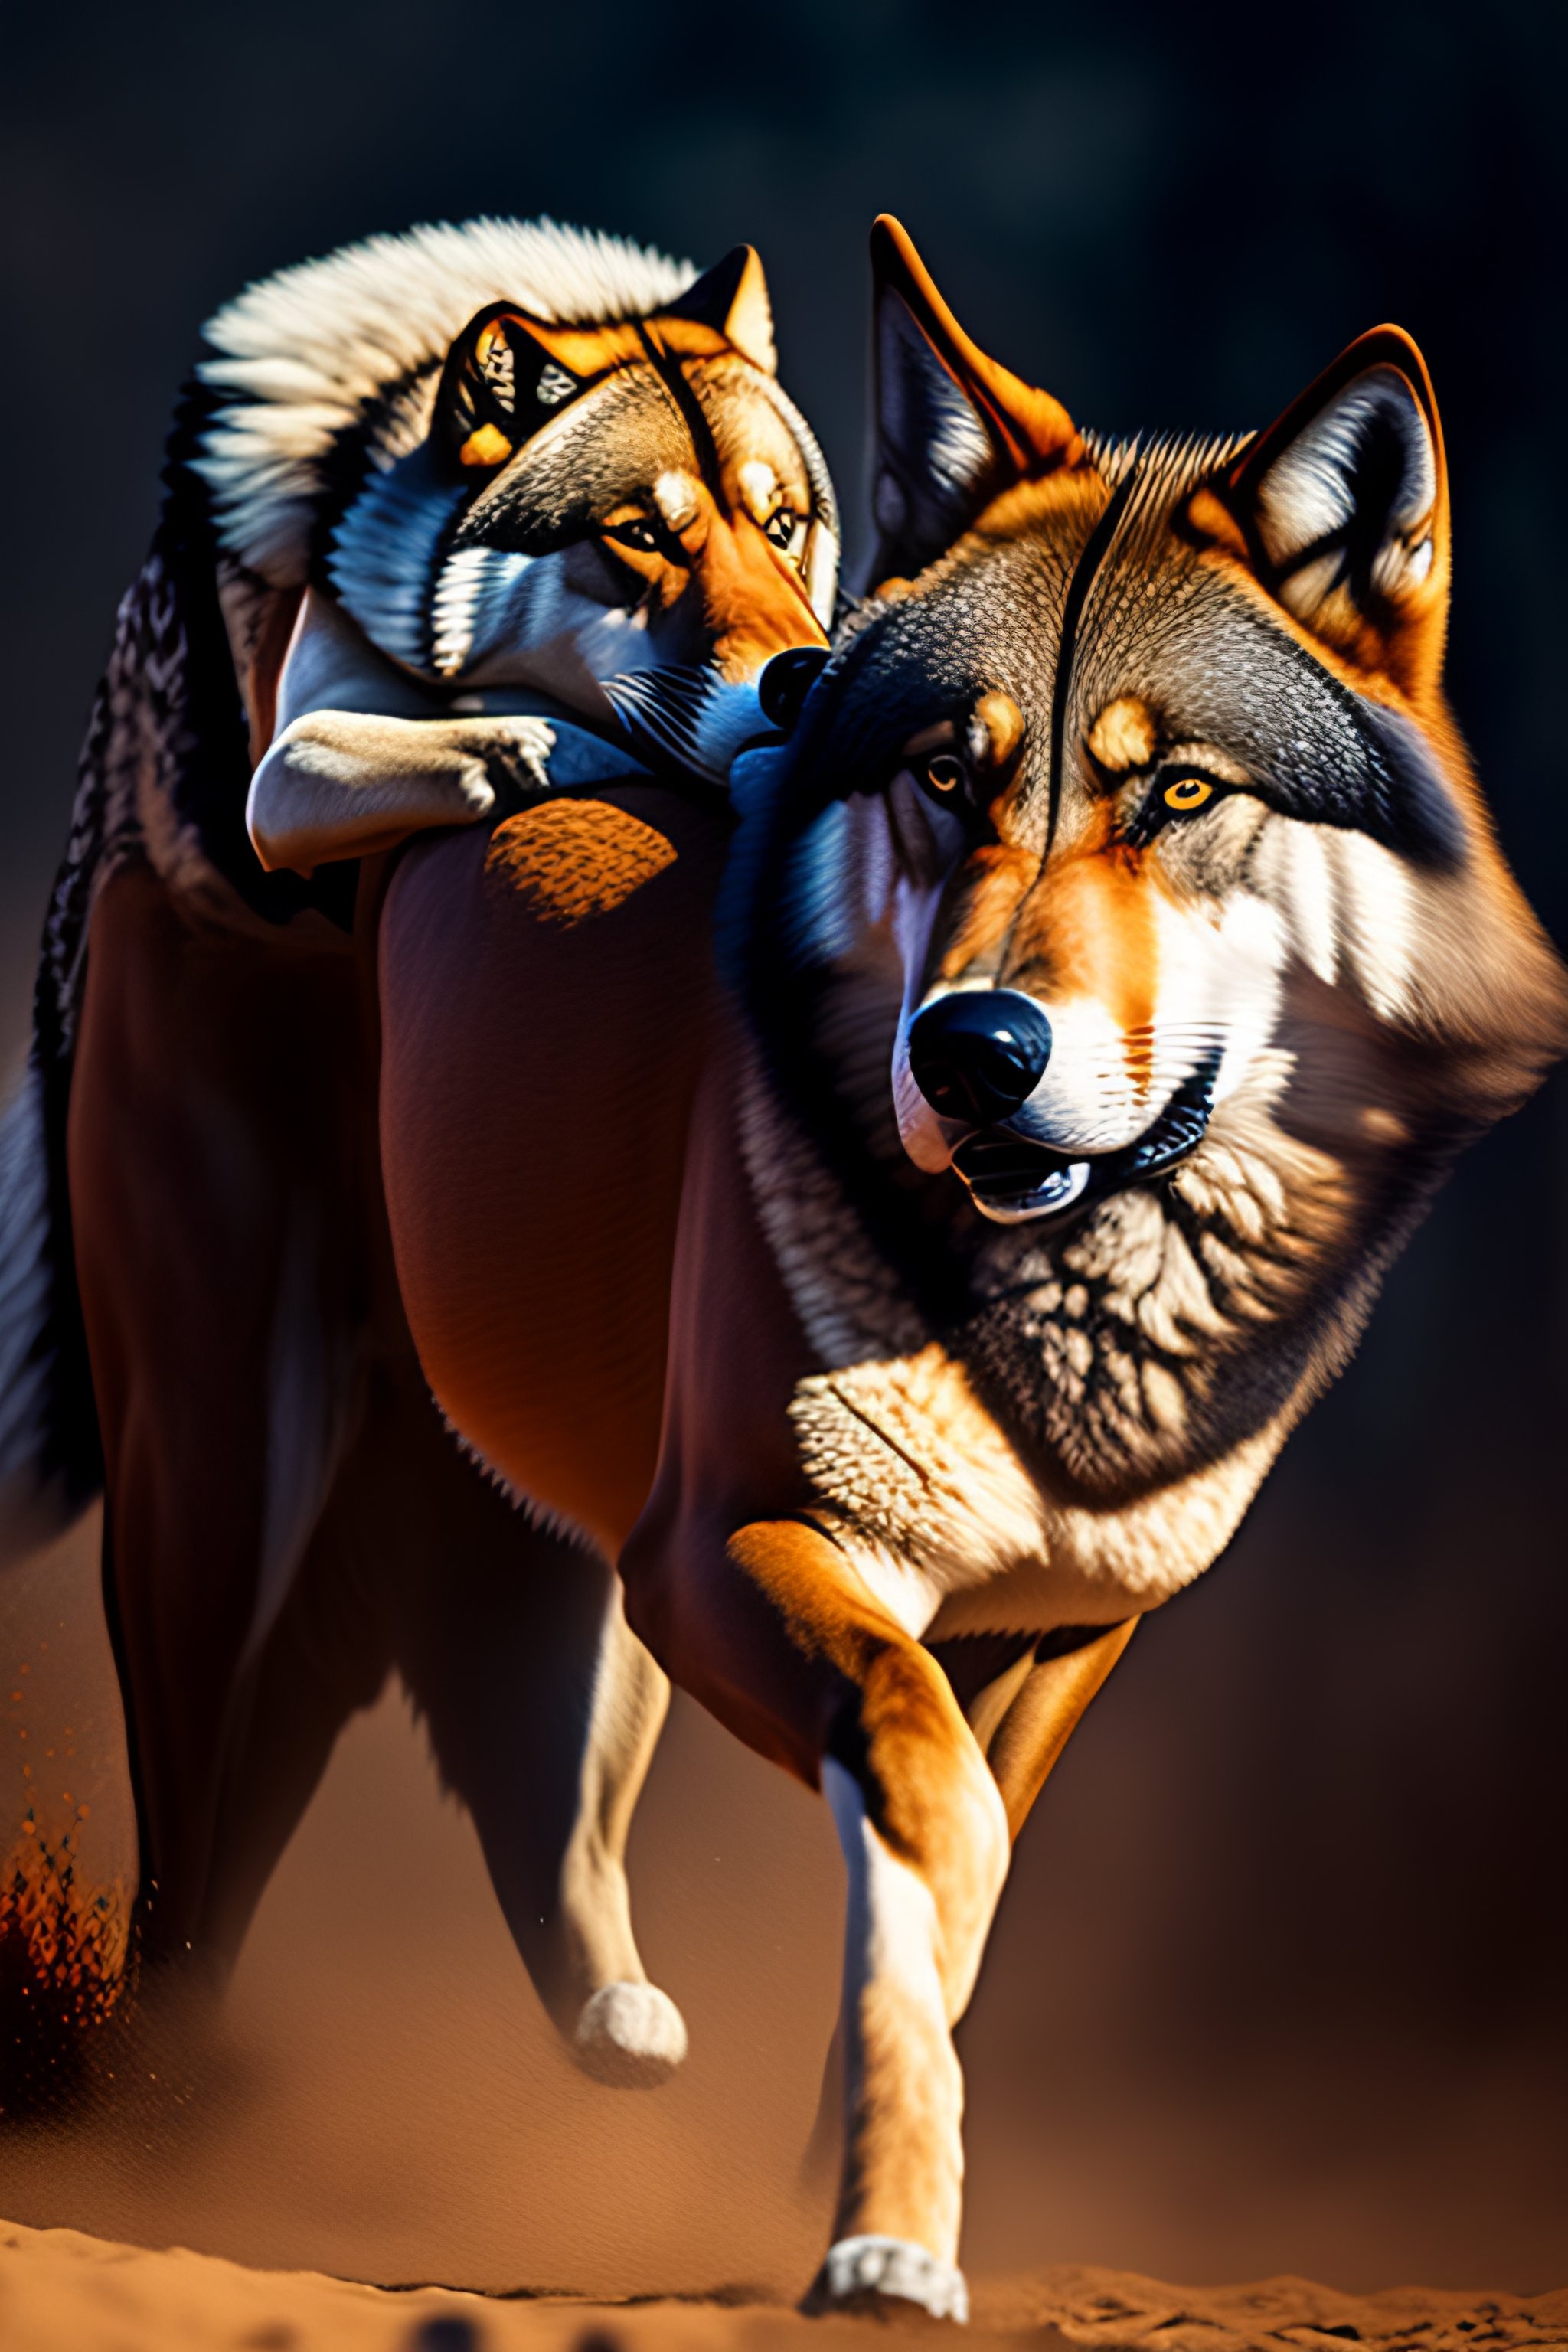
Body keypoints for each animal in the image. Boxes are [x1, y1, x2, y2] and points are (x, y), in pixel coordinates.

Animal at [0, 215, 834, 2089]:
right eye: (637, 535)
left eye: (781, 521)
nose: (804, 682)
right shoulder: (298, 761)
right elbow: (509, 733)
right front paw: (563, 733)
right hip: (218, 1473)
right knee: (193, 1815)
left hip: (573, 1529)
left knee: (545, 1830)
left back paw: (614, 2014)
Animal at [371, 218, 1568, 2318]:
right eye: (948, 773)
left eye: (1177, 793)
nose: (972, 1051)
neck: (1063, 1335)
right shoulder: (727, 1547)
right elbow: (932, 1808)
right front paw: (879, 2229)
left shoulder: (1084, 1622)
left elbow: (978, 1860)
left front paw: (850, 2169)